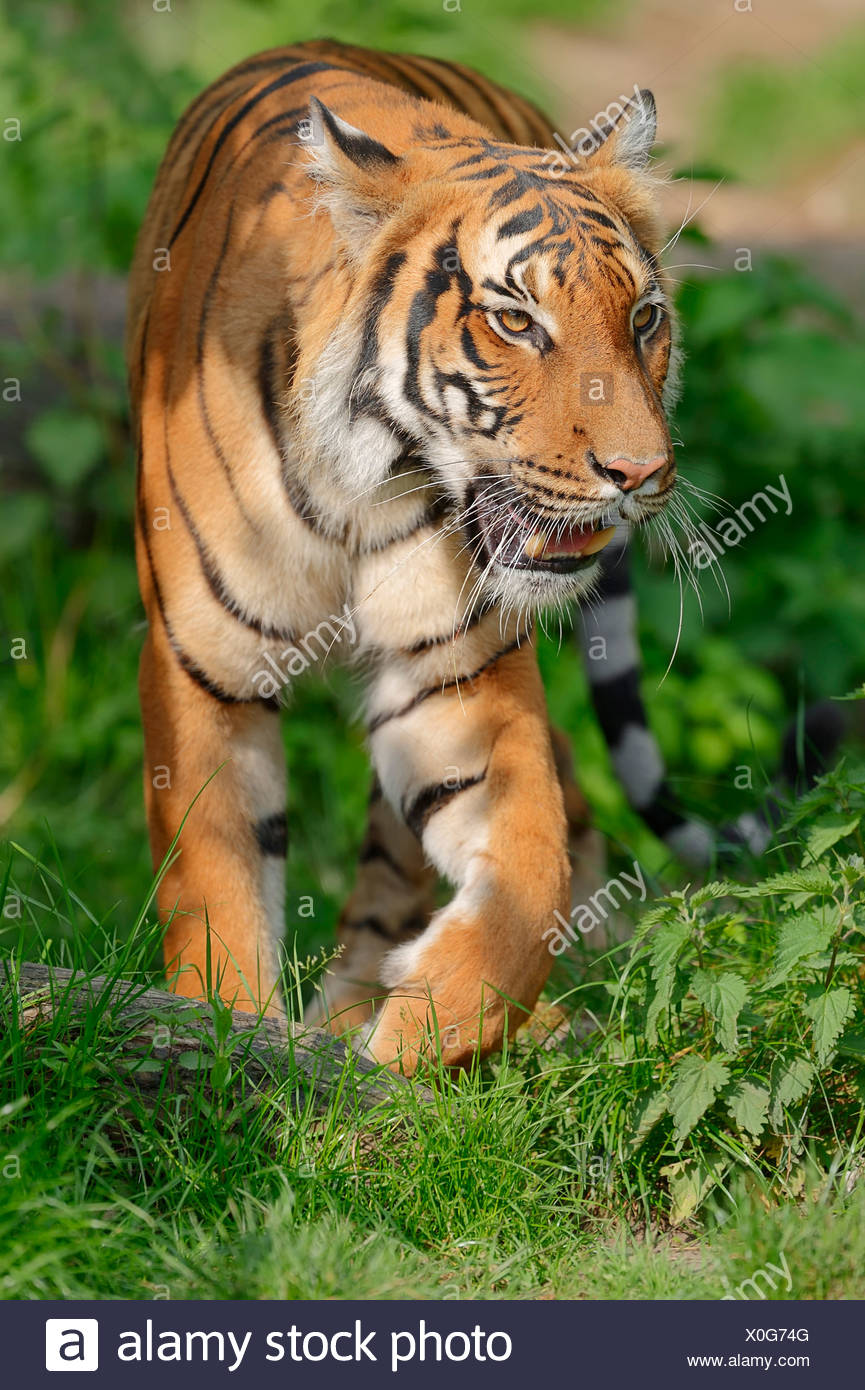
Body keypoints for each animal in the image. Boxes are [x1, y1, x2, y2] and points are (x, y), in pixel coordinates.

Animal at [126, 38, 680, 1074]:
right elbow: (217, 888)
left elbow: (529, 876)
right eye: (515, 322)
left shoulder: (457, 675)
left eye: (642, 319)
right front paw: (228, 1038)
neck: (358, 481)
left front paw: (414, 1039)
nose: (639, 473)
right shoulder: (199, 669)